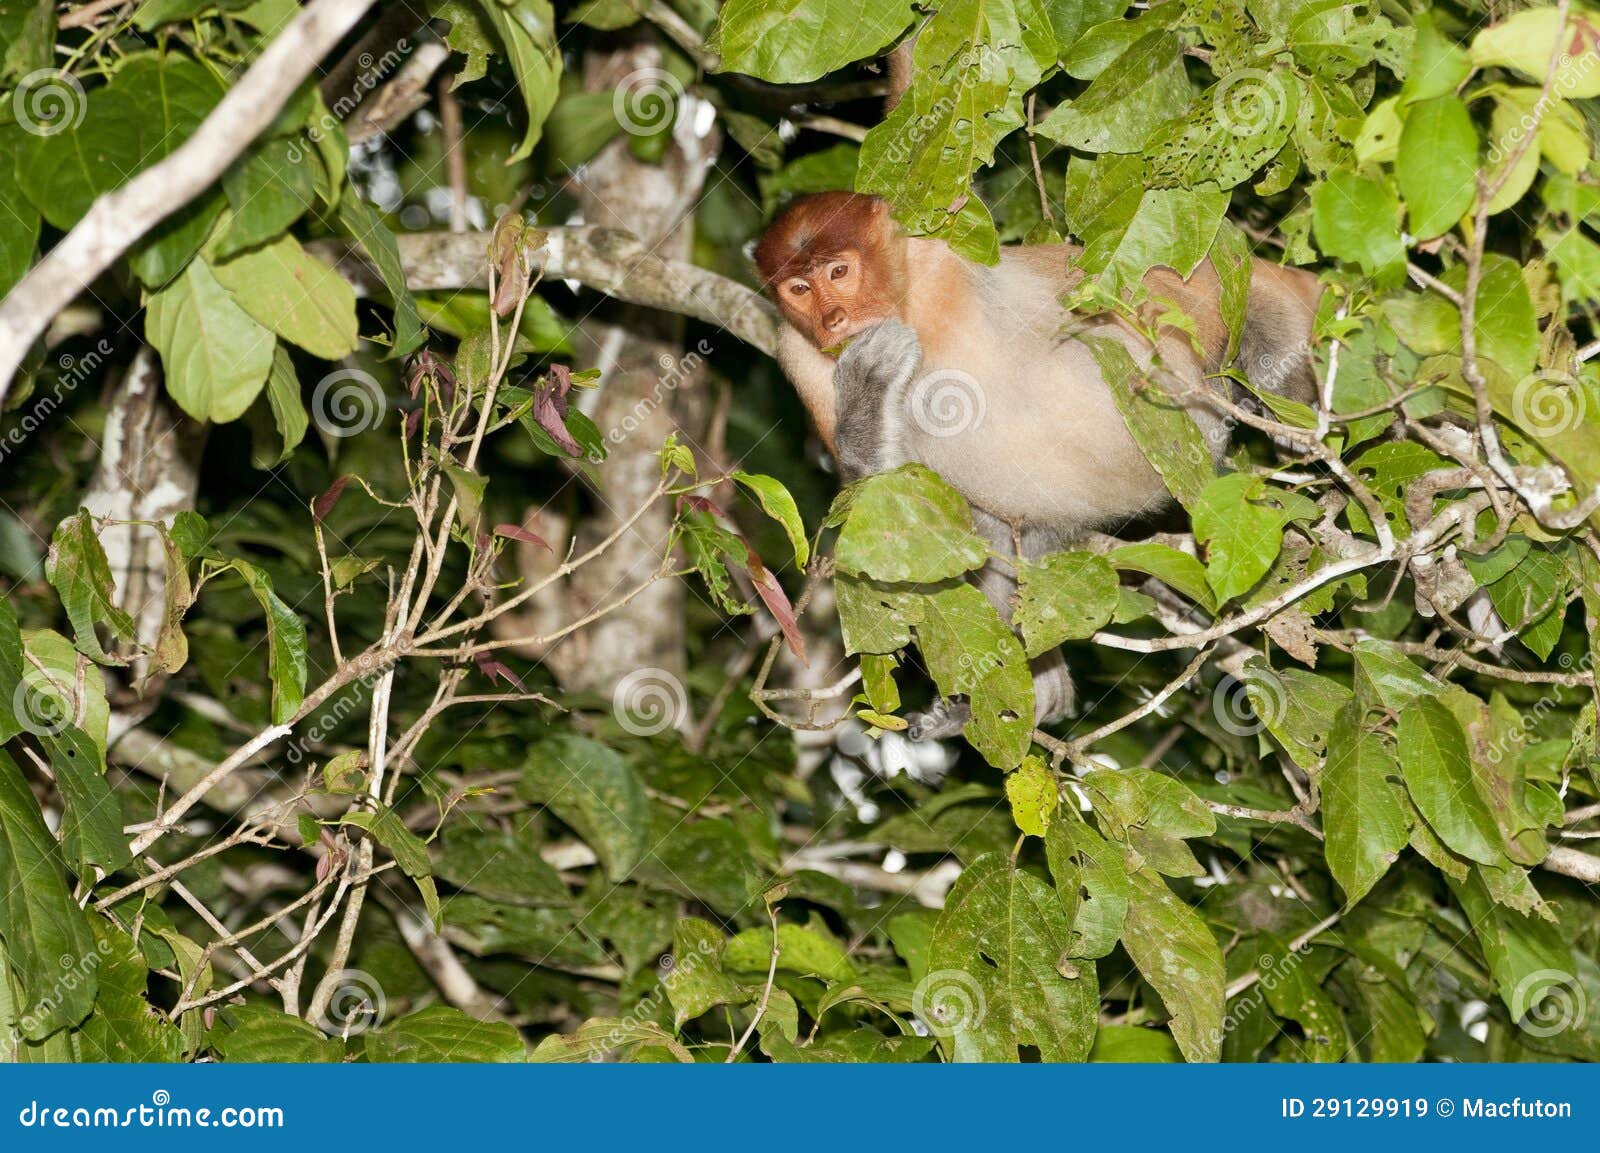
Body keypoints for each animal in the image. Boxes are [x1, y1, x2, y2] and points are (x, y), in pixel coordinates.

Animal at [754, 191, 1323, 740]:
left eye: (839, 272)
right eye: (799, 289)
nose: (834, 322)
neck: (914, 312)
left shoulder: (947, 266)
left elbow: (1212, 285)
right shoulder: (801, 357)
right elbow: (894, 526)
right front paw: (866, 383)